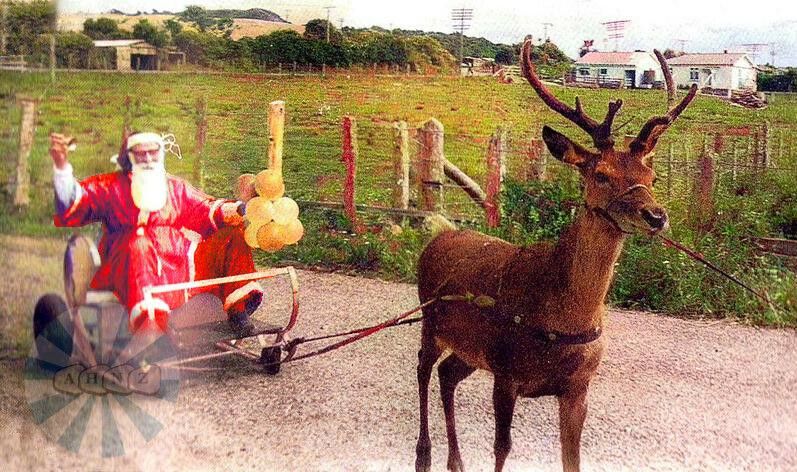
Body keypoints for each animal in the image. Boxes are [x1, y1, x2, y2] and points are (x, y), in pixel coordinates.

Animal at [414, 39, 697, 472]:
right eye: (601, 174)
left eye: (650, 177)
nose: (656, 216)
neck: (565, 315)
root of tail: (437, 239)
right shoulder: (507, 372)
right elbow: (502, 448)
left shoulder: (578, 387)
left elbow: (572, 457)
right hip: (430, 320)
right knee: (423, 370)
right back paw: (424, 455)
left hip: (471, 349)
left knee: (447, 374)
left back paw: (456, 461)